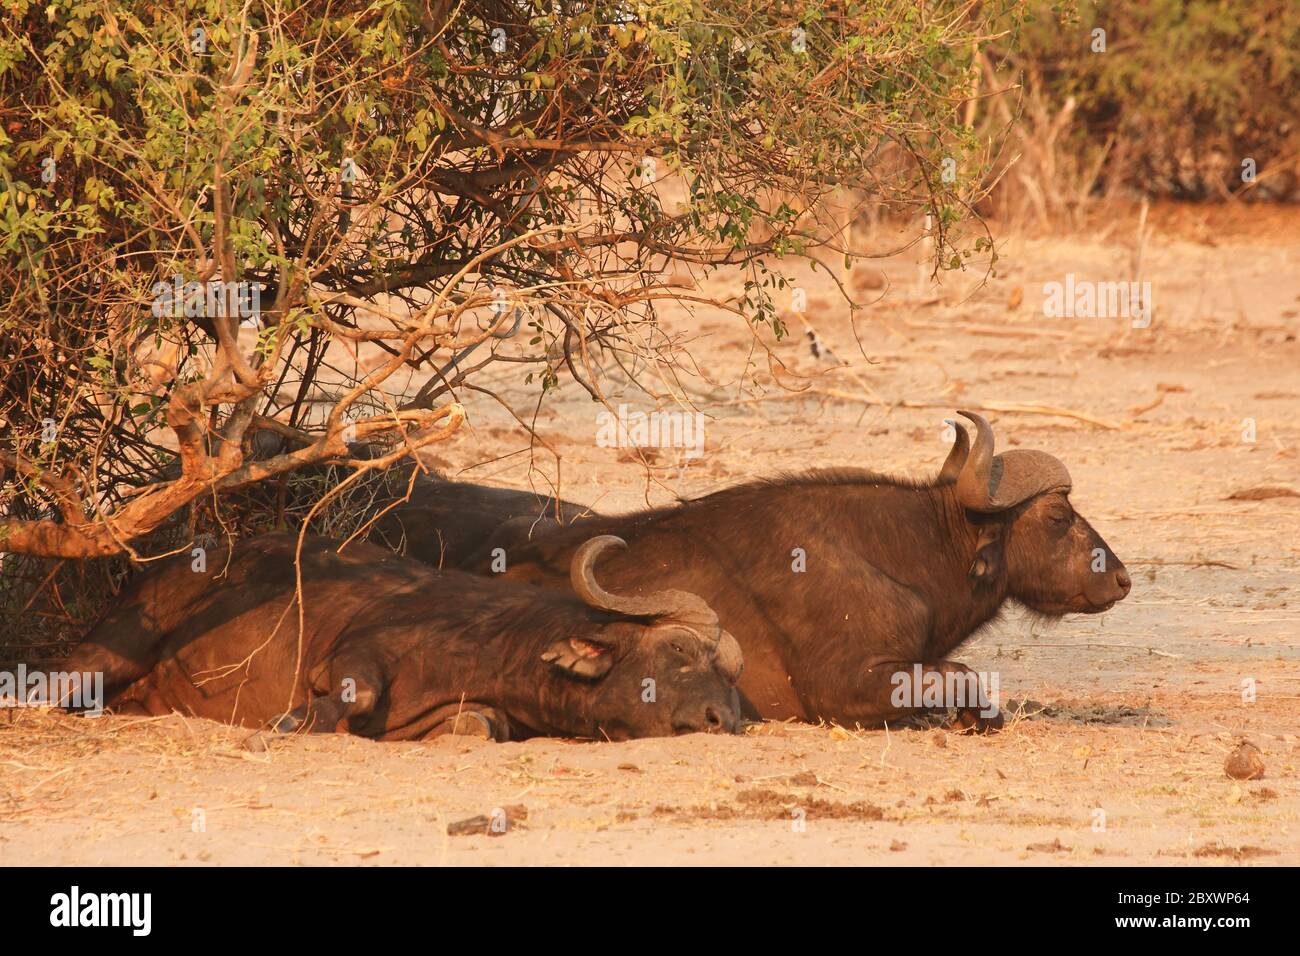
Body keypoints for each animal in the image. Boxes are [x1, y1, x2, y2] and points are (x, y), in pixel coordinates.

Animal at [61, 533, 743, 741]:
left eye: (732, 675)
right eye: (678, 649)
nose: (724, 719)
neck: (496, 648)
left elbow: (478, 725)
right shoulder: (357, 654)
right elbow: (355, 694)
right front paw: (291, 721)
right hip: (107, 650)